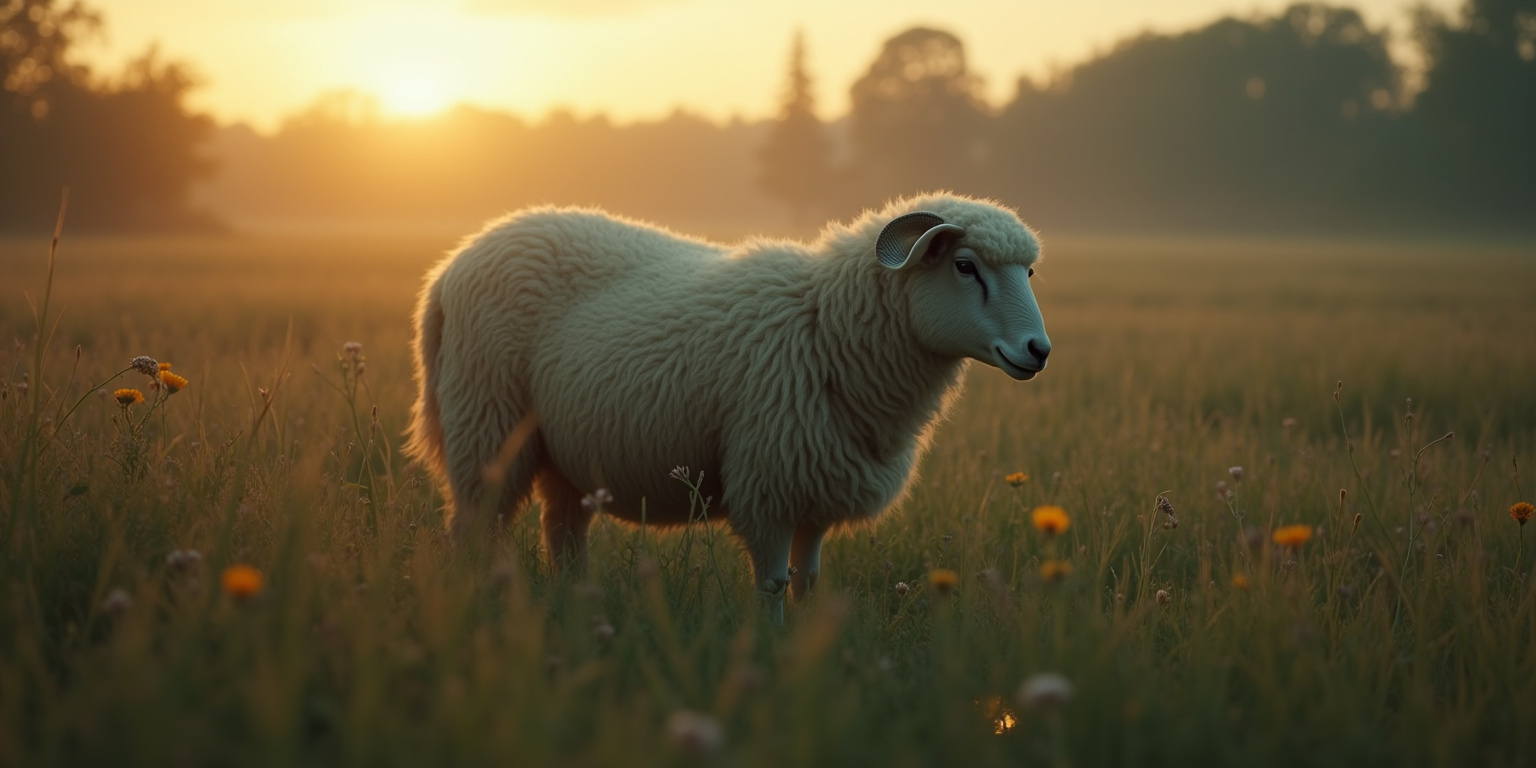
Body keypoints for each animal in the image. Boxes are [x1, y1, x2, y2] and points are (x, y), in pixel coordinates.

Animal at [404, 192, 1050, 615]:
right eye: (965, 267)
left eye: (1029, 271)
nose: (1038, 351)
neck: (825, 325)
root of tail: (447, 271)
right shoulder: (769, 483)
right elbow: (772, 586)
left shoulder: (817, 484)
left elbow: (807, 581)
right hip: (485, 429)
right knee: (473, 532)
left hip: (567, 453)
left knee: (563, 536)